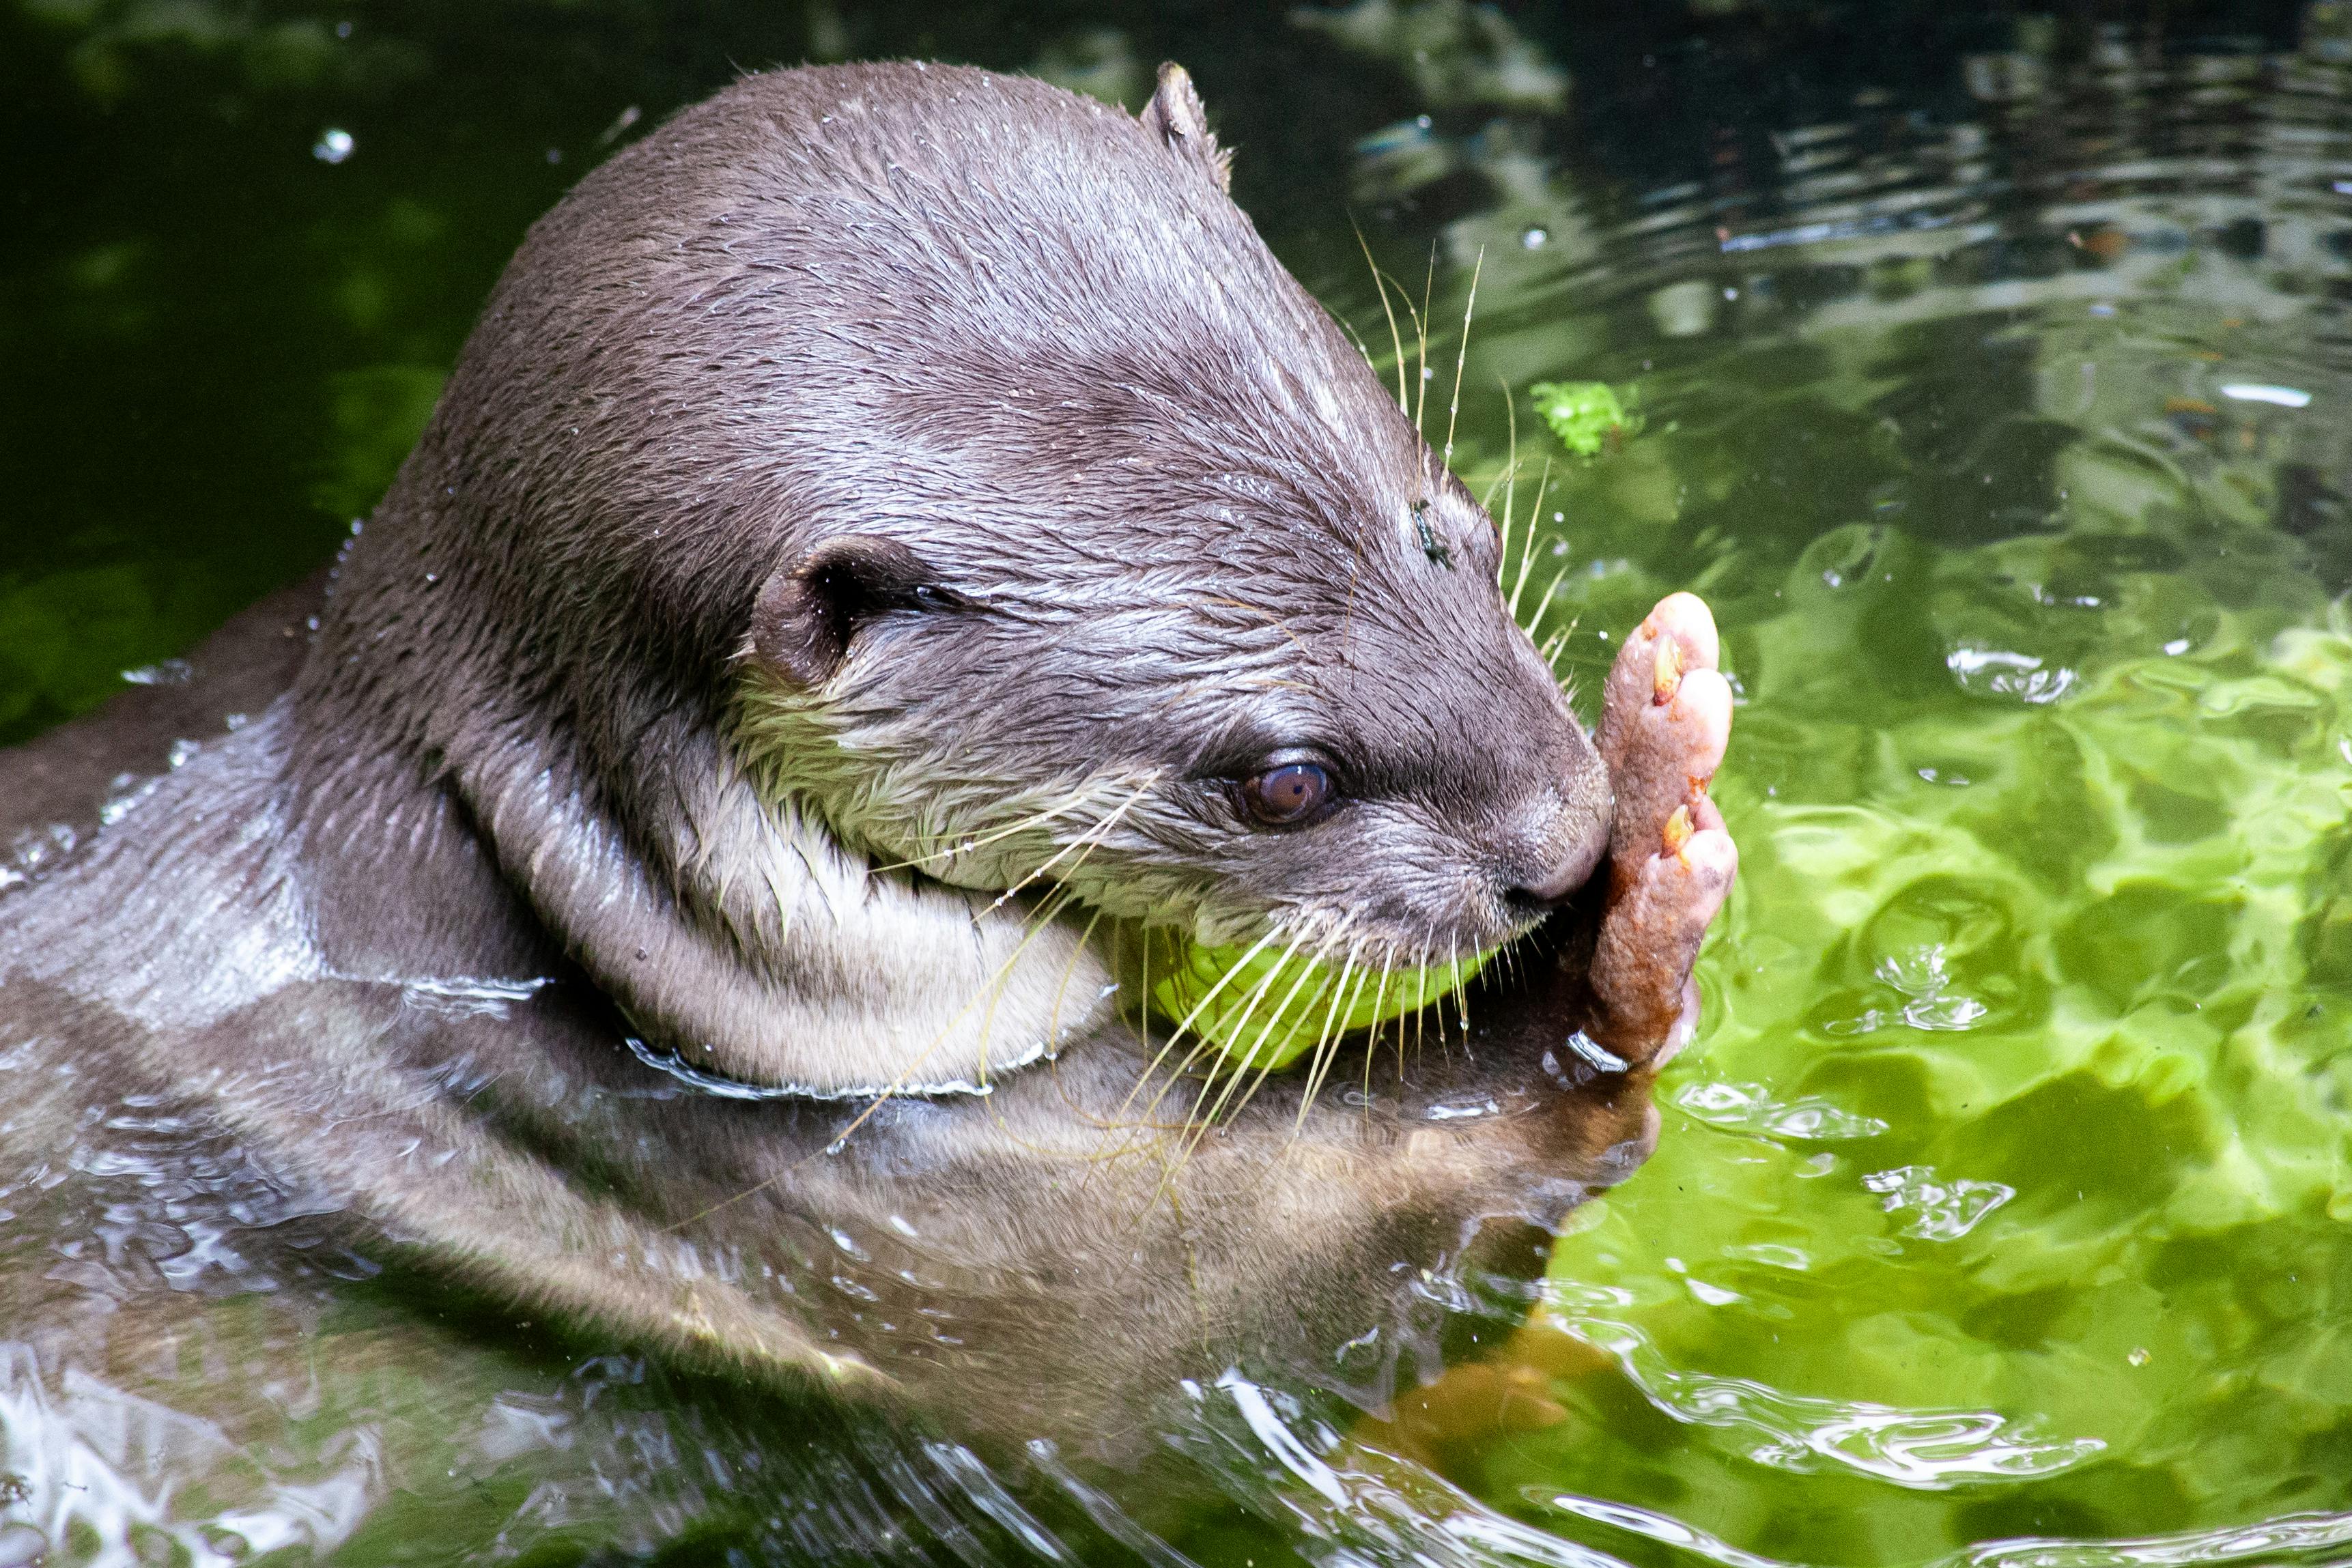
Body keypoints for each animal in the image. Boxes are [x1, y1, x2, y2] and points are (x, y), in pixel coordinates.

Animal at [0, 59, 1733, 1536]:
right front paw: (1641, 918)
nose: (1559, 840)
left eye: (1453, 532)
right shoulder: (885, 1228)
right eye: (1281, 779)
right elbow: (1276, 1277)